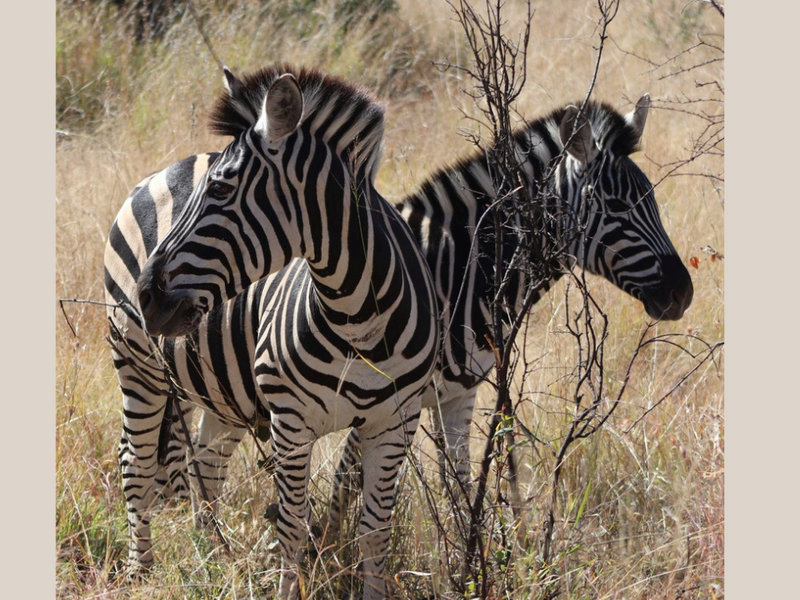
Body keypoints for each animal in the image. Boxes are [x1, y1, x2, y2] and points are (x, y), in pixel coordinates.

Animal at [105, 64, 440, 600]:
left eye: (221, 190)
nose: (146, 297)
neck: (360, 320)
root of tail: (173, 164)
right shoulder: (291, 420)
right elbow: (292, 525)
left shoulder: (395, 423)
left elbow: (374, 530)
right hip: (135, 364)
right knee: (135, 463)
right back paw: (142, 571)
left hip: (220, 388)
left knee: (205, 467)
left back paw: (211, 558)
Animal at [326, 93, 694, 530]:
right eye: (618, 205)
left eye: (652, 197)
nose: (684, 292)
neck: (453, 271)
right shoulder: (379, 397)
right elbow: (344, 488)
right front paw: (323, 546)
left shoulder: (456, 392)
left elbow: (462, 486)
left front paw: (478, 544)